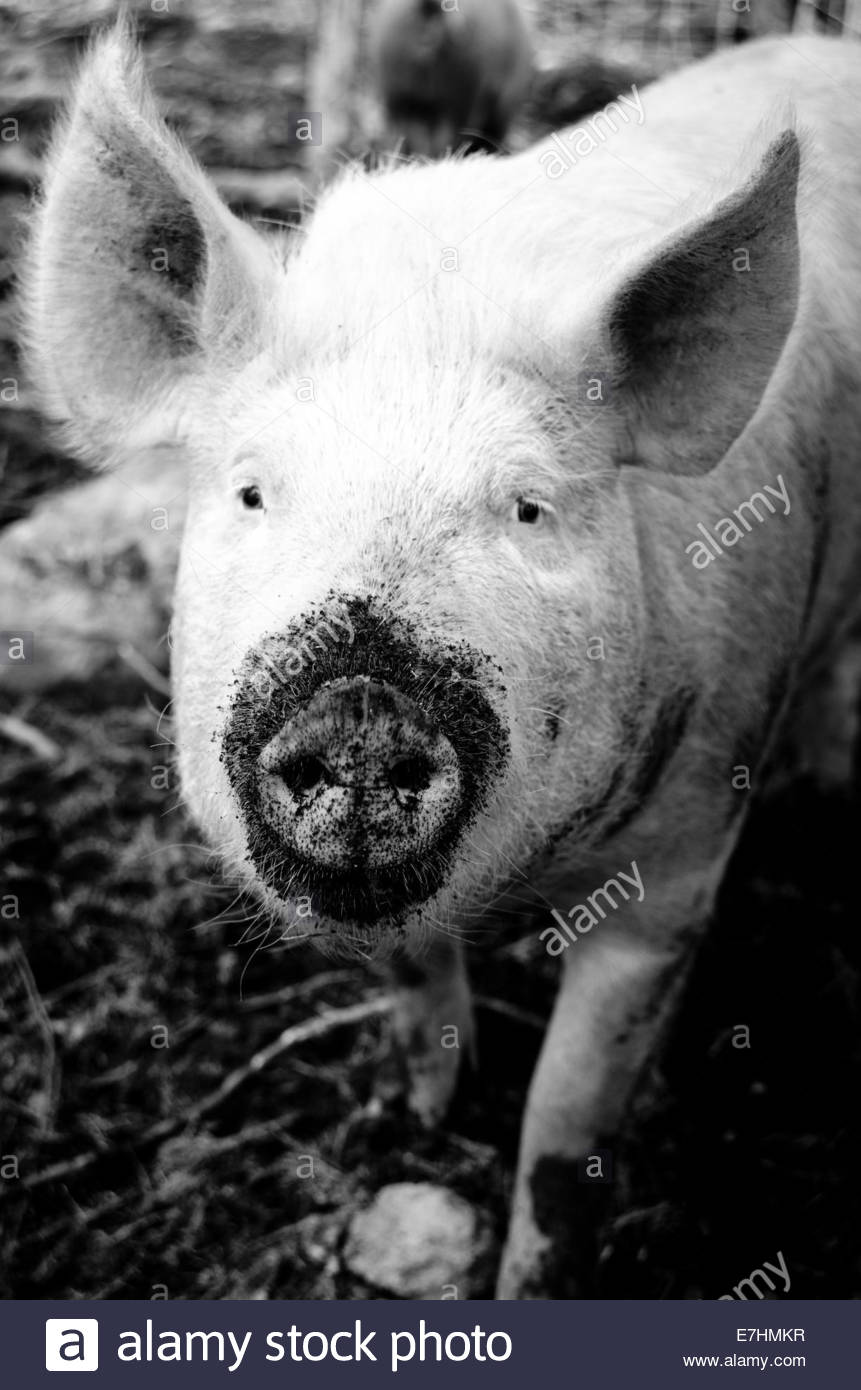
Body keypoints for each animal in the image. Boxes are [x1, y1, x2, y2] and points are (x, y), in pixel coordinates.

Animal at [23, 26, 861, 1297]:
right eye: (252, 490)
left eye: (529, 508)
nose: (362, 707)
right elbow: (418, 986)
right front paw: (426, 1115)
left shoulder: (682, 862)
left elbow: (567, 1128)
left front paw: (528, 1279)